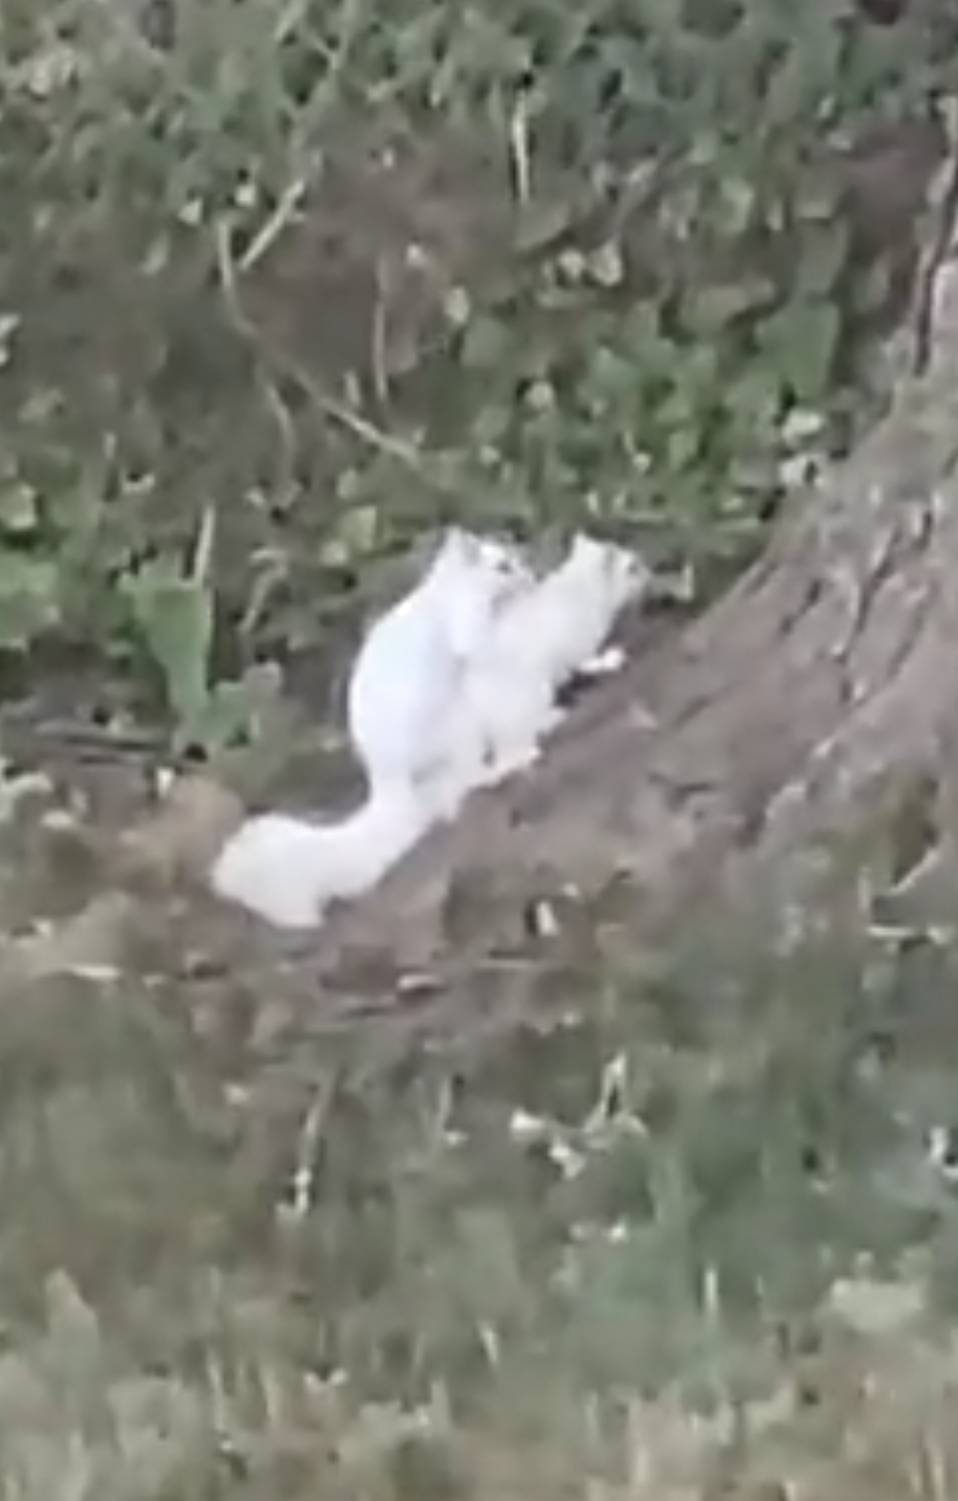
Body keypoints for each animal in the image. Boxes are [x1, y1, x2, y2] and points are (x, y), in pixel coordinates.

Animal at [210, 527, 534, 929]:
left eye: (513, 557)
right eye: (502, 565)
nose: (528, 575)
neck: (445, 588)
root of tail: (389, 783)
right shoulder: (464, 620)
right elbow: (476, 642)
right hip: (459, 726)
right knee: (470, 776)